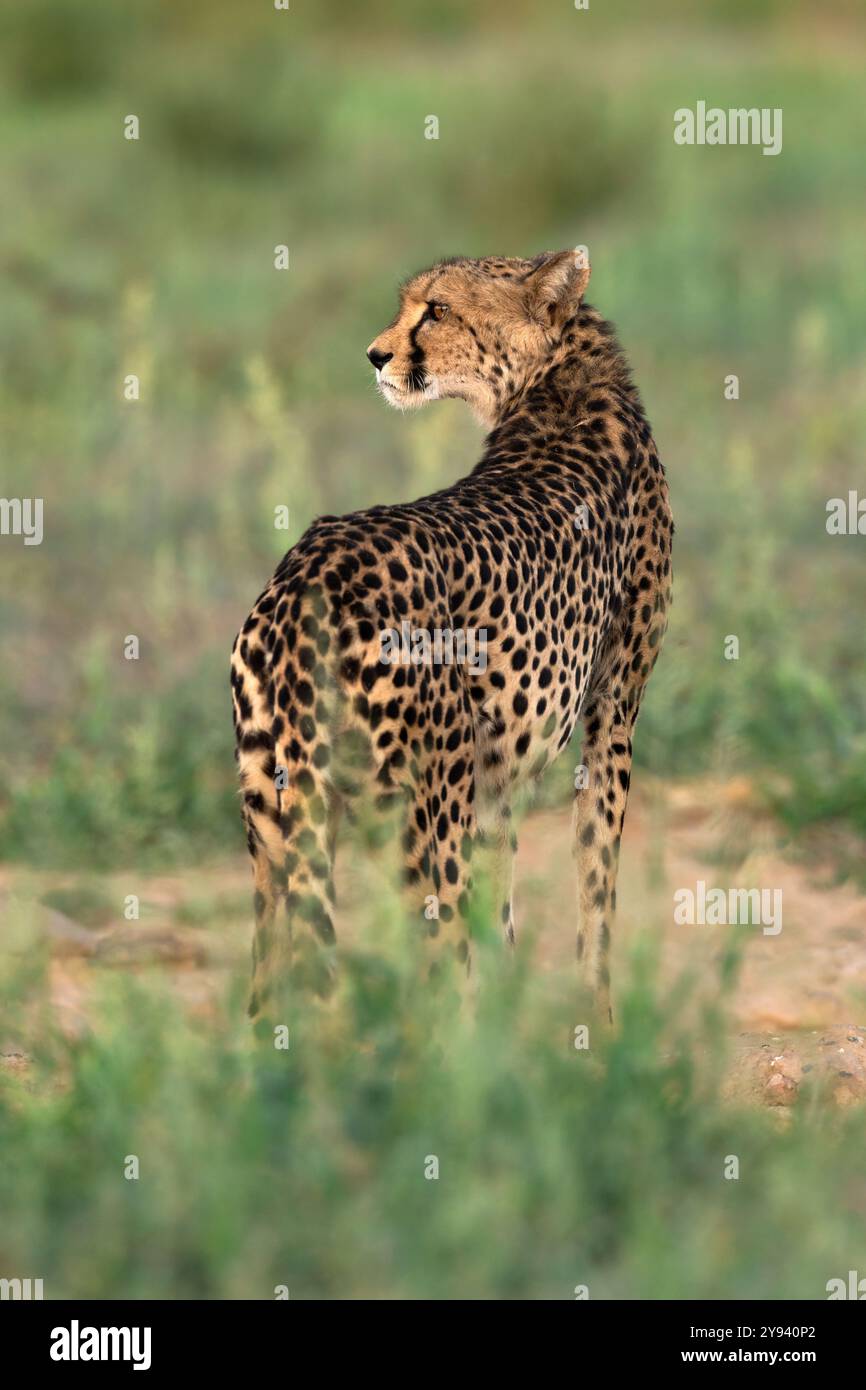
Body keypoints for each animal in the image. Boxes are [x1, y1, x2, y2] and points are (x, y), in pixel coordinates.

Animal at [230, 248, 673, 1032]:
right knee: (433, 978)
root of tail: (308, 568)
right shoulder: (612, 713)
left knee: (271, 980)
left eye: (435, 310)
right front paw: (602, 1030)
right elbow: (595, 885)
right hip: (421, 814)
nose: (375, 354)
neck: (555, 384)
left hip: (278, 815)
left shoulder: (495, 783)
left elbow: (506, 908)